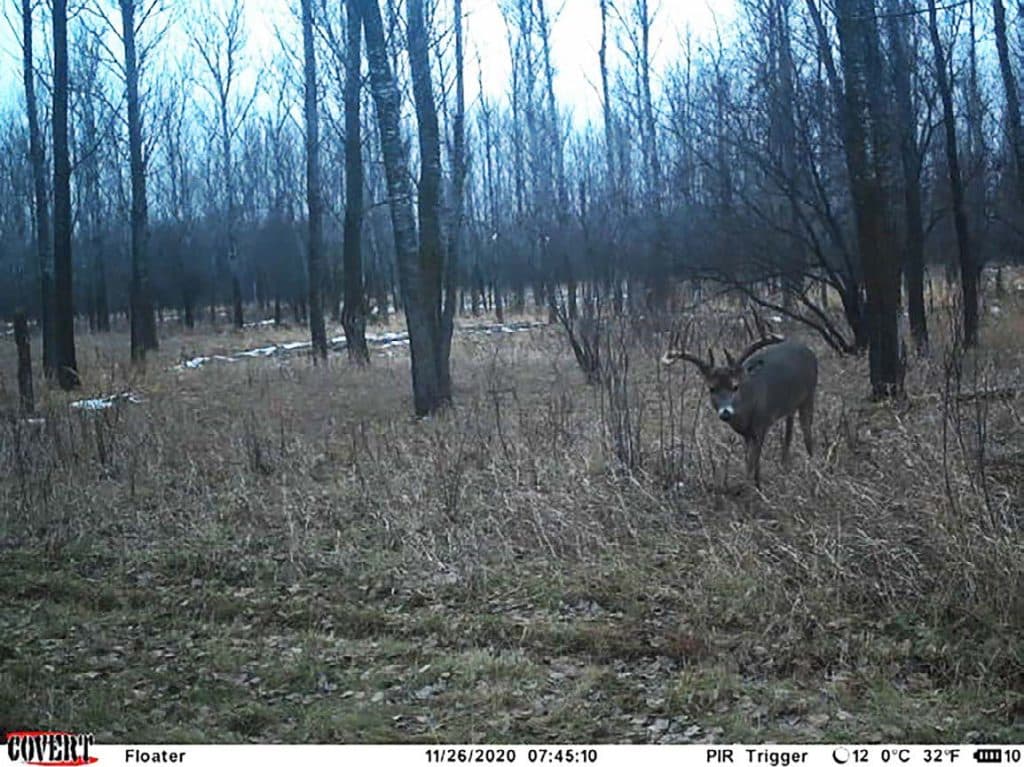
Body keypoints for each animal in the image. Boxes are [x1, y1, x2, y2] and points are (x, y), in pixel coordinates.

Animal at [661, 316, 818, 488]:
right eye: (711, 388)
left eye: (735, 386)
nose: (725, 412)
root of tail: (809, 350)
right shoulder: (746, 434)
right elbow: (754, 464)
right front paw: (758, 486)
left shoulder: (761, 425)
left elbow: (751, 465)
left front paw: (749, 488)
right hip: (791, 404)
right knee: (789, 429)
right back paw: (785, 465)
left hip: (810, 394)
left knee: (807, 430)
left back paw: (812, 465)